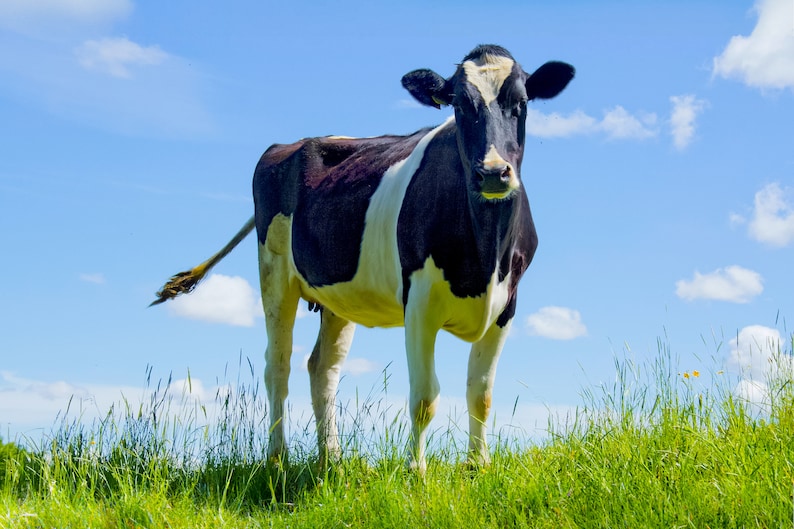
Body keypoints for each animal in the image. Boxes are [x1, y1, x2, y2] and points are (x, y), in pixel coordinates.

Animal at [152, 44, 574, 473]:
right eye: (457, 103)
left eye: (521, 103)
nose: (491, 173)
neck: (484, 256)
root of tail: (289, 144)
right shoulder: (419, 301)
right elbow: (425, 396)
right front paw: (417, 472)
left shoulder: (507, 305)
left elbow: (481, 393)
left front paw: (478, 466)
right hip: (274, 273)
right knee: (278, 365)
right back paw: (277, 460)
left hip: (338, 300)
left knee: (322, 369)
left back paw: (332, 461)